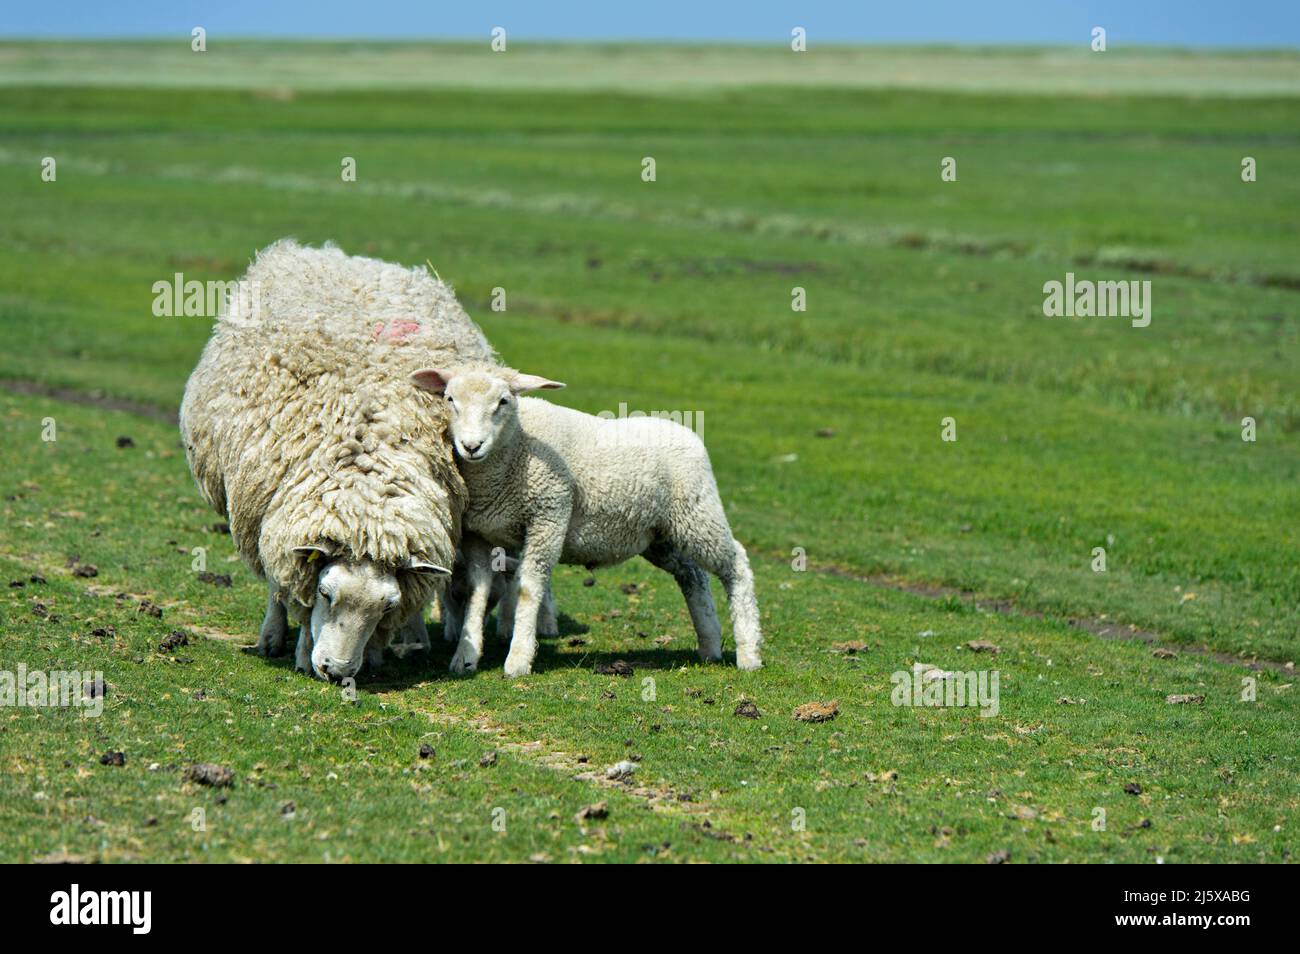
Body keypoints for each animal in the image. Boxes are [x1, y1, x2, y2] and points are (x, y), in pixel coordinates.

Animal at [185, 243, 499, 686]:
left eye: (386, 607)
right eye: (325, 593)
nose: (337, 671)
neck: (365, 479)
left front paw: (376, 654)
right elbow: (294, 597)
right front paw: (301, 651)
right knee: (276, 584)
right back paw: (273, 635)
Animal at [410, 369, 764, 681]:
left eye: (503, 402)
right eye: (450, 399)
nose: (472, 446)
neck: (511, 452)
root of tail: (687, 432)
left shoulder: (549, 517)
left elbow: (528, 587)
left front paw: (518, 659)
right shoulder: (477, 534)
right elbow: (477, 592)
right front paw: (465, 657)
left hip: (698, 513)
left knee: (736, 563)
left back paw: (748, 652)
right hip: (660, 536)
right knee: (692, 576)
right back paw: (709, 644)